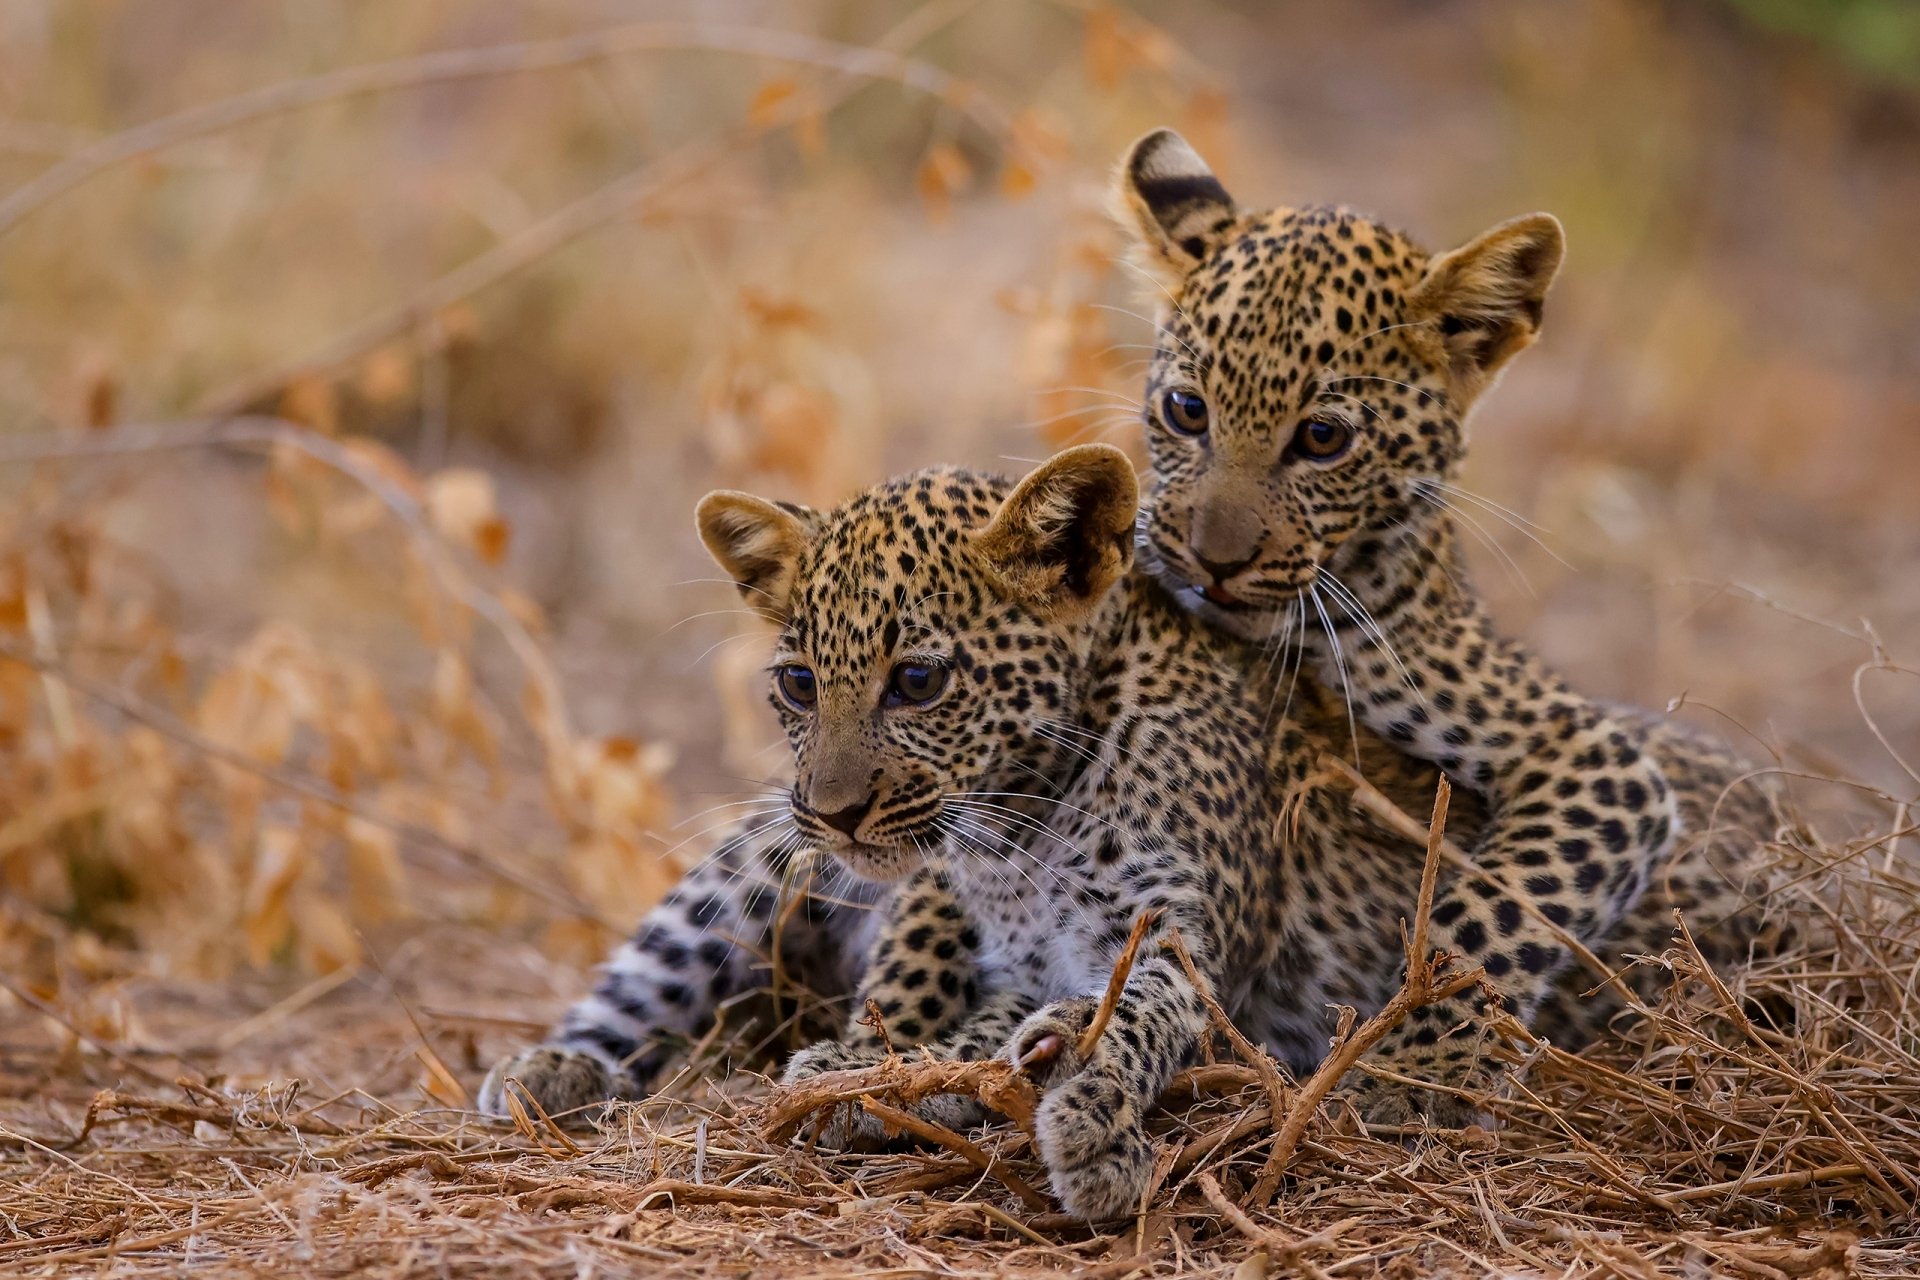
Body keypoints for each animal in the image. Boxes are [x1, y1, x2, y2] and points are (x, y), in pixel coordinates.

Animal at [1110, 127, 1786, 1119]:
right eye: (1186, 412)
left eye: (1323, 440)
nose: (1212, 561)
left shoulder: (1596, 756)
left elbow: (1495, 909)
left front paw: (1412, 1069)